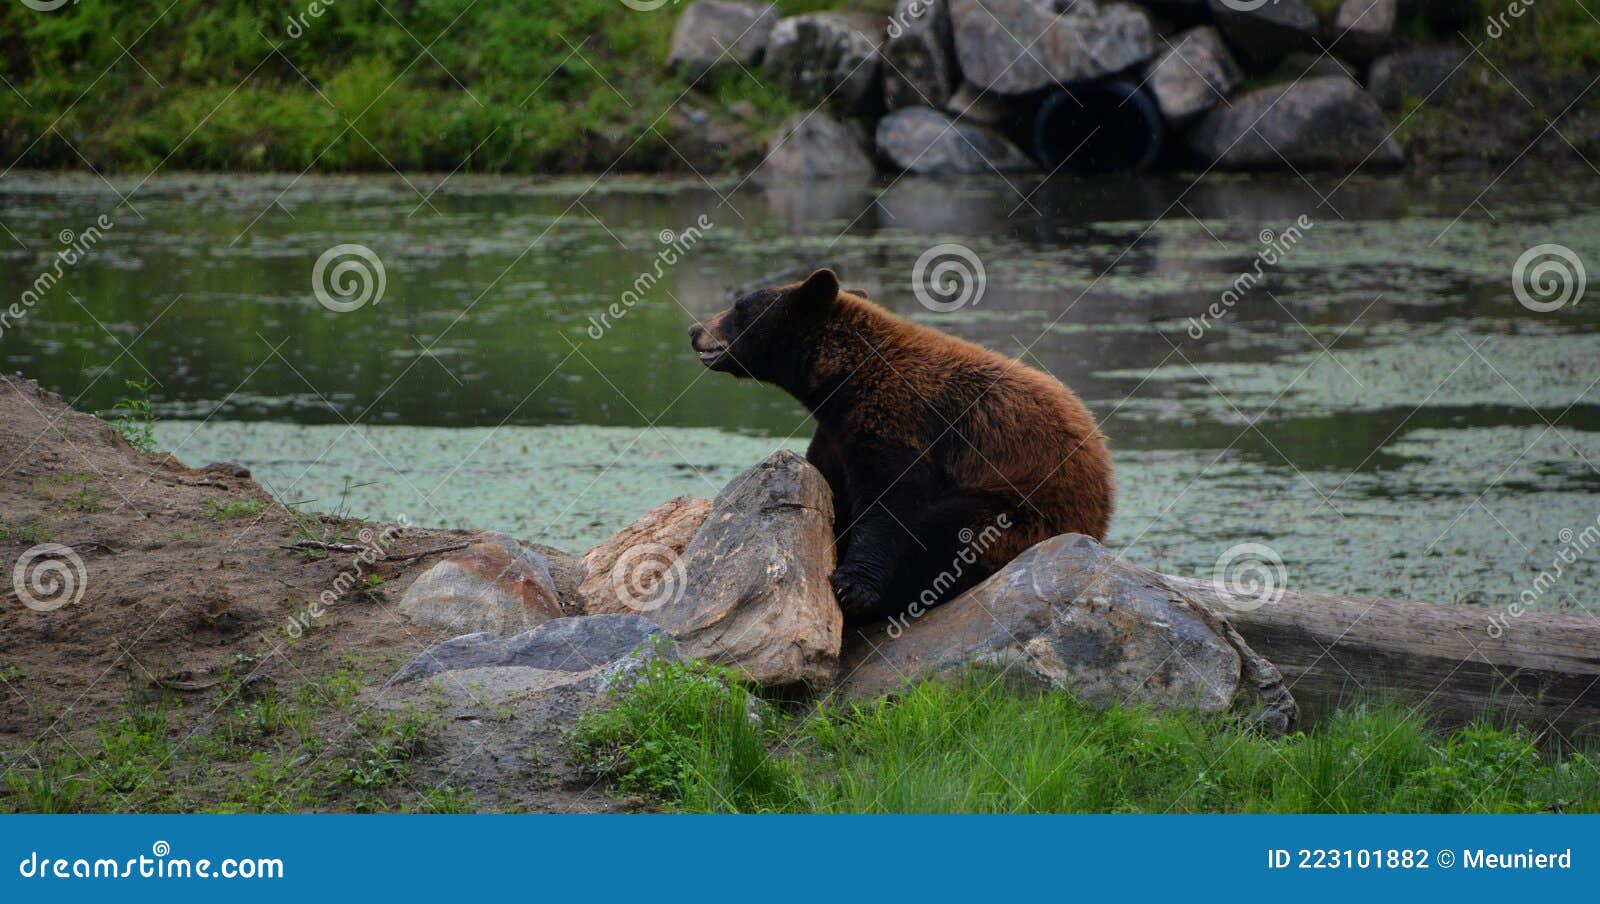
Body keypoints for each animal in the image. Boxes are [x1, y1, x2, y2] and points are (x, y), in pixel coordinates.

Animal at [688, 268, 1114, 623]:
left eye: (740, 306)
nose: (694, 329)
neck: (846, 380)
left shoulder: (898, 420)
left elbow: (890, 502)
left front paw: (853, 587)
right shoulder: (835, 434)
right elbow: (830, 481)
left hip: (1024, 511)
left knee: (950, 531)